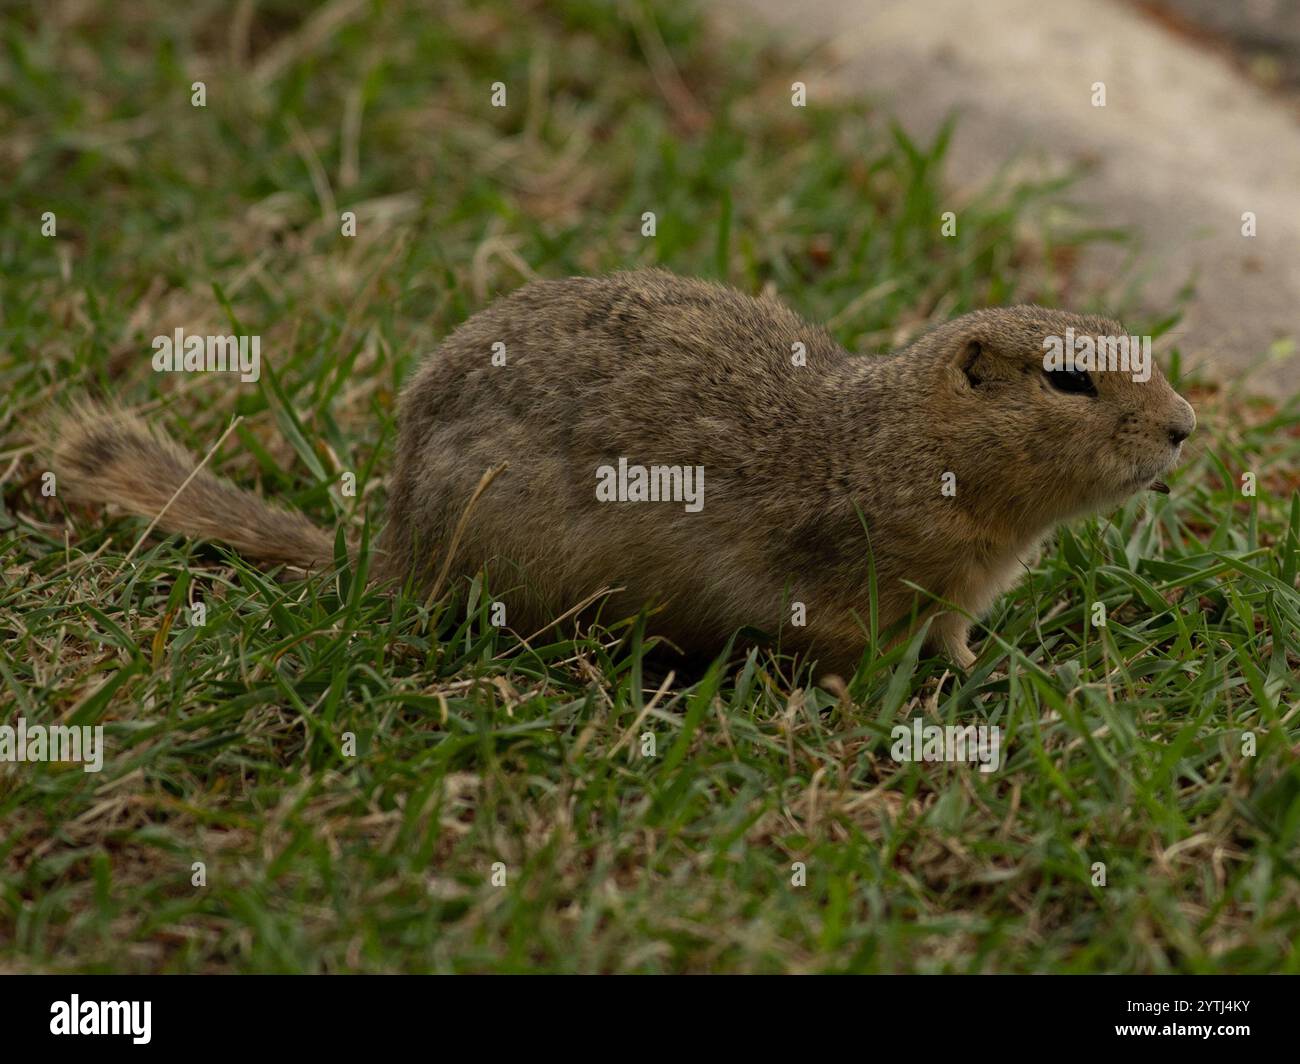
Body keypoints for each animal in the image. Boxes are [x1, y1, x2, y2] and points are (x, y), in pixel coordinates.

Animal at [49, 268, 1195, 673]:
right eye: (1067, 379)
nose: (1185, 427)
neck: (901, 446)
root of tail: (389, 553)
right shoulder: (836, 584)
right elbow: (846, 655)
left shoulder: (956, 595)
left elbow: (955, 641)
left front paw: (989, 674)